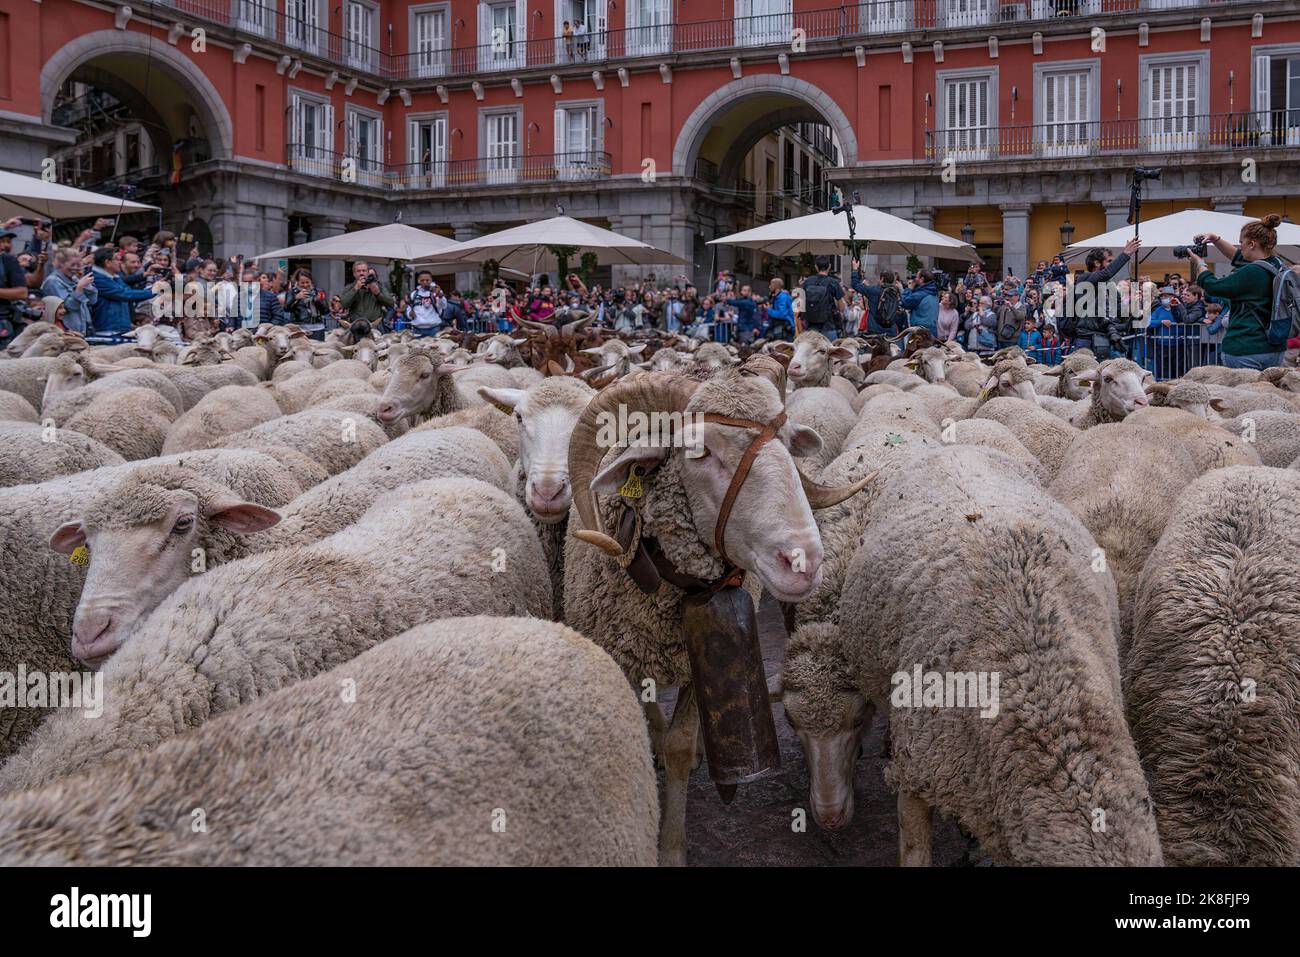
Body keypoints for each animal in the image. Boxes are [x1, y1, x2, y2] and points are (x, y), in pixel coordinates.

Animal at [561, 361, 875, 864]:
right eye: (700, 452)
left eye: (788, 443)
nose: (804, 561)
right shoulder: (615, 652)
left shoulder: (693, 664)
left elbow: (679, 748)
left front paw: (671, 846)